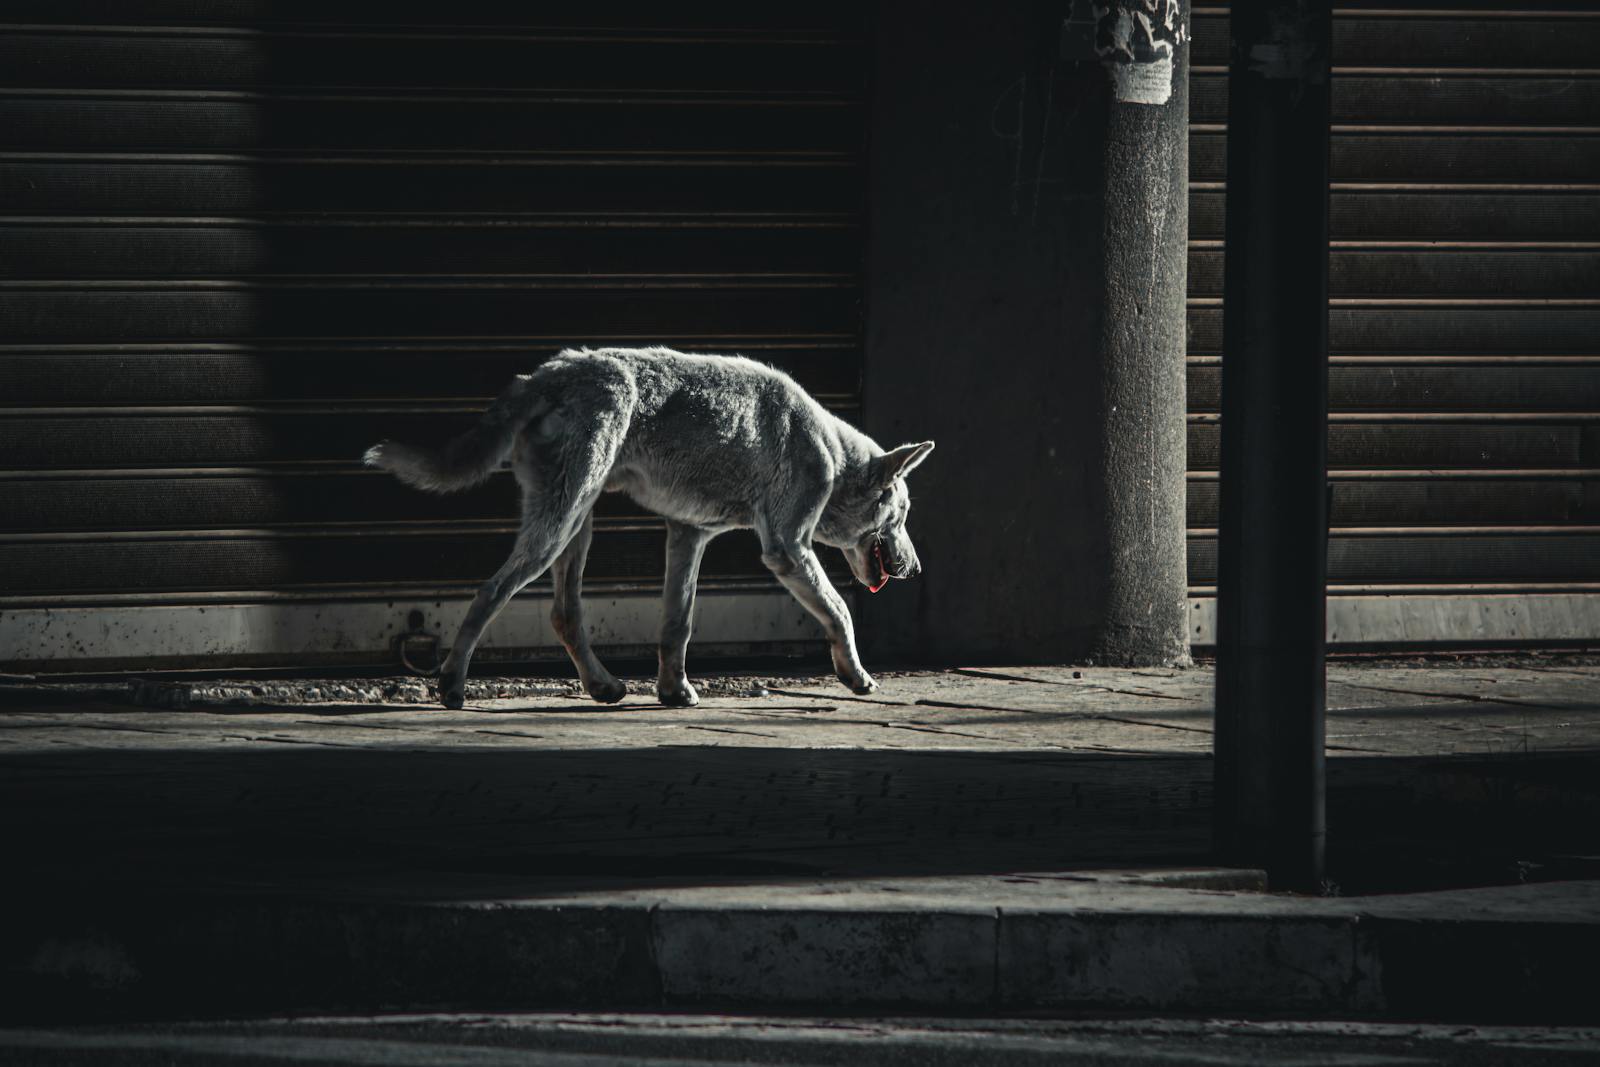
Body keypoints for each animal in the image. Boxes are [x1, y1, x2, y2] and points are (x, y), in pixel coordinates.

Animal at [364, 346, 933, 709]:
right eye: (904, 516)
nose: (915, 568)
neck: (831, 455)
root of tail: (547, 372)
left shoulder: (688, 535)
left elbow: (676, 626)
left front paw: (673, 692)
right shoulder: (788, 550)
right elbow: (841, 611)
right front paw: (856, 675)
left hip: (577, 526)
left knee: (564, 614)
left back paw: (603, 687)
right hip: (560, 525)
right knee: (490, 592)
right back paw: (452, 685)